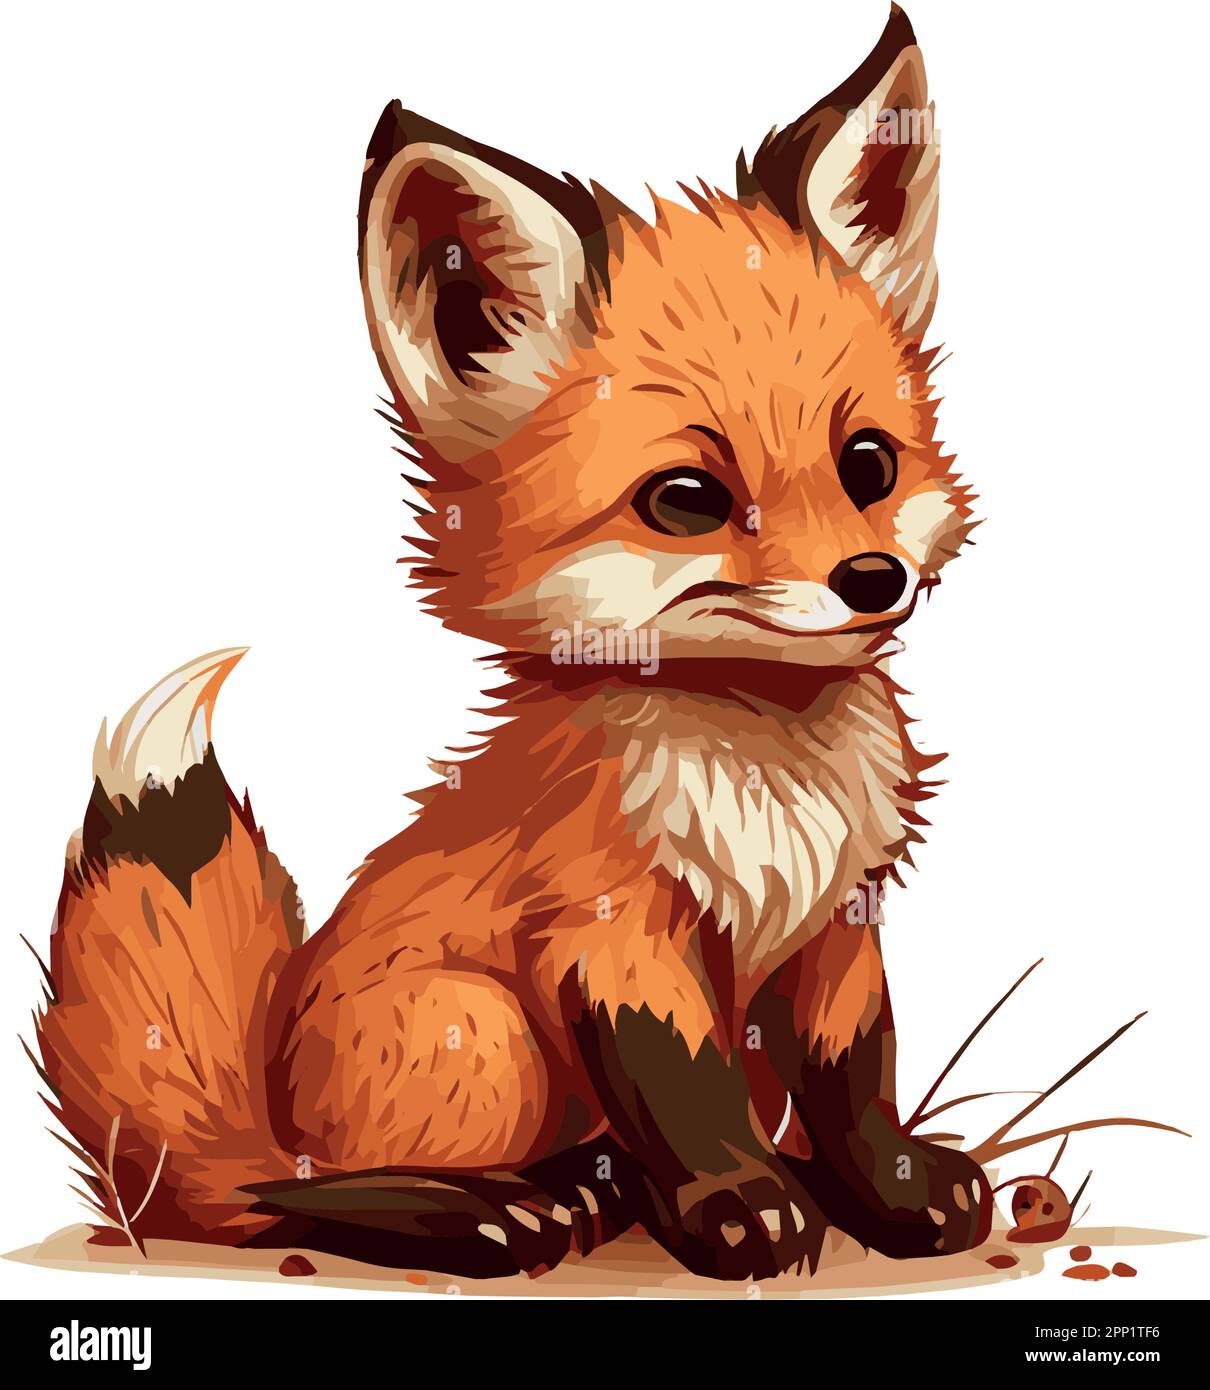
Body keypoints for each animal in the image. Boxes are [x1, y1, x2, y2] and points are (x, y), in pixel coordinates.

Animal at [33, 5, 989, 1282]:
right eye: (686, 497)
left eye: (868, 467)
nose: (869, 580)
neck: (762, 777)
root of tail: (256, 1115)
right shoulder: (610, 933)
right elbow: (685, 1093)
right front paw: (738, 1204)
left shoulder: (839, 923)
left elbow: (853, 1079)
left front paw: (888, 1192)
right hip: (473, 1025)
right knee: (293, 1194)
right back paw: (485, 1209)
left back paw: (591, 1186)